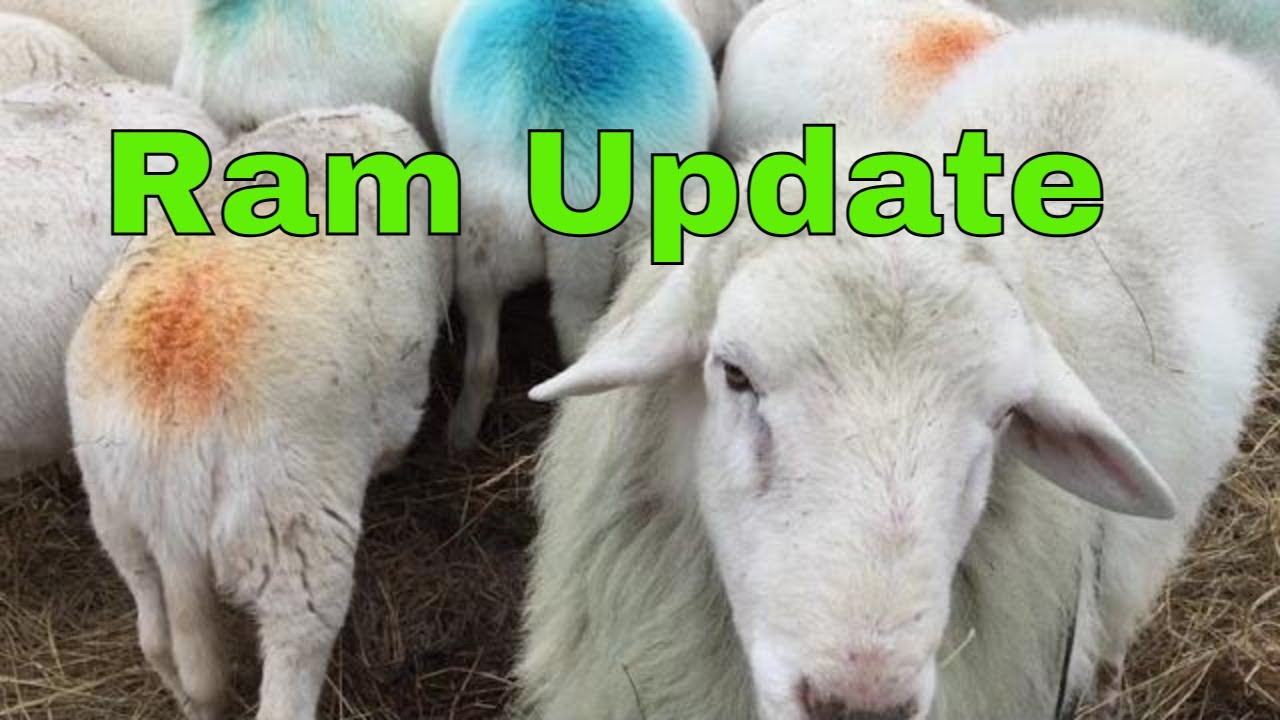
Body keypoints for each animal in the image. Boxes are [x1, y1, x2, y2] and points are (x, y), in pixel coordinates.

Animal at [66, 105, 452, 720]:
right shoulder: (403, 391)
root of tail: (171, 417)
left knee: (155, 639)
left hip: (116, 516)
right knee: (292, 663)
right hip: (289, 532)